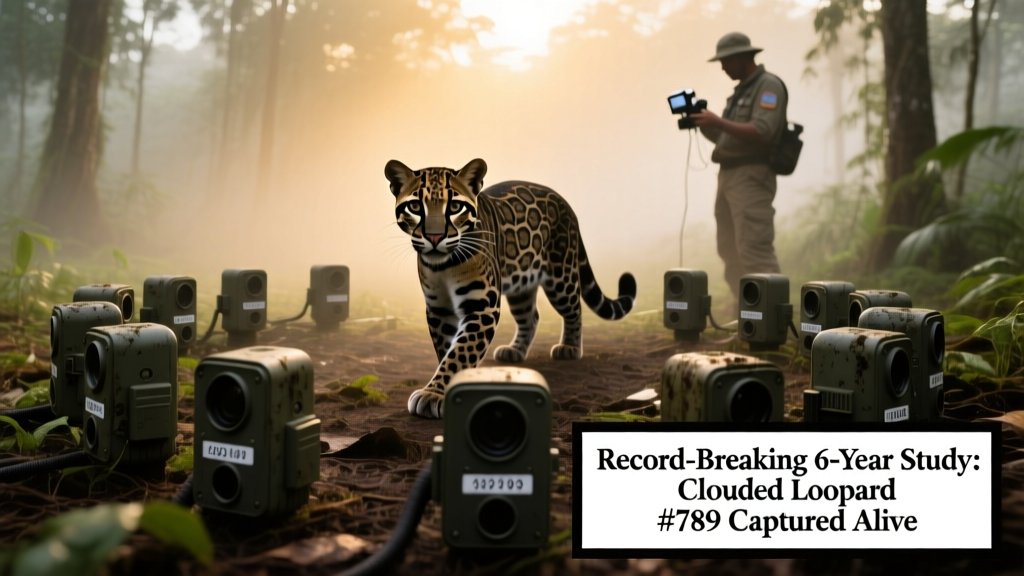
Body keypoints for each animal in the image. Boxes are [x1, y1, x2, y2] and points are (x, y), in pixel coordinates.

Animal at [385, 158, 636, 419]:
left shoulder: (481, 306)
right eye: (415, 206)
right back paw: (514, 351)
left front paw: (433, 393)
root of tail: (564, 201)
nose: (434, 238)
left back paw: (570, 347)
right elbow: (447, 349)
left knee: (574, 309)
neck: (443, 264)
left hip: (560, 277)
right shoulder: (439, 309)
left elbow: (460, 351)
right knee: (531, 317)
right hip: (521, 288)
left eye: (455, 207)